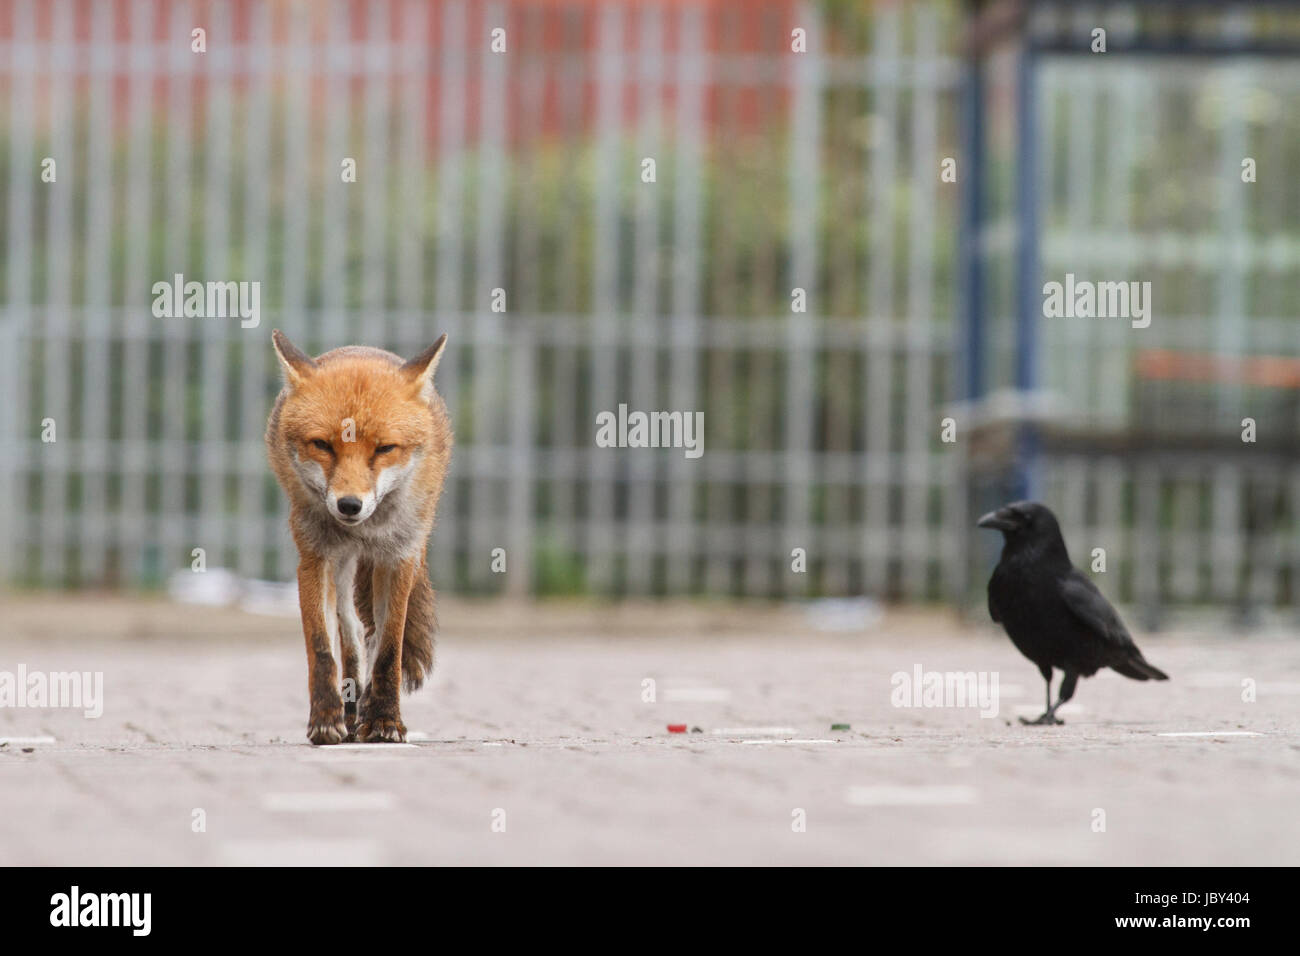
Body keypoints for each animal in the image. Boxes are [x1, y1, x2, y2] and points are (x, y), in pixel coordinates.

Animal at [265, 329, 452, 745]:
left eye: (384, 448)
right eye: (322, 444)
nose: (349, 505)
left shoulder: (398, 557)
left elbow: (389, 649)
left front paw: (384, 719)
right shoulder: (314, 558)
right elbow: (322, 648)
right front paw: (325, 719)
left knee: (370, 638)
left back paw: (364, 709)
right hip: (342, 569)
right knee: (350, 634)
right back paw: (350, 712)